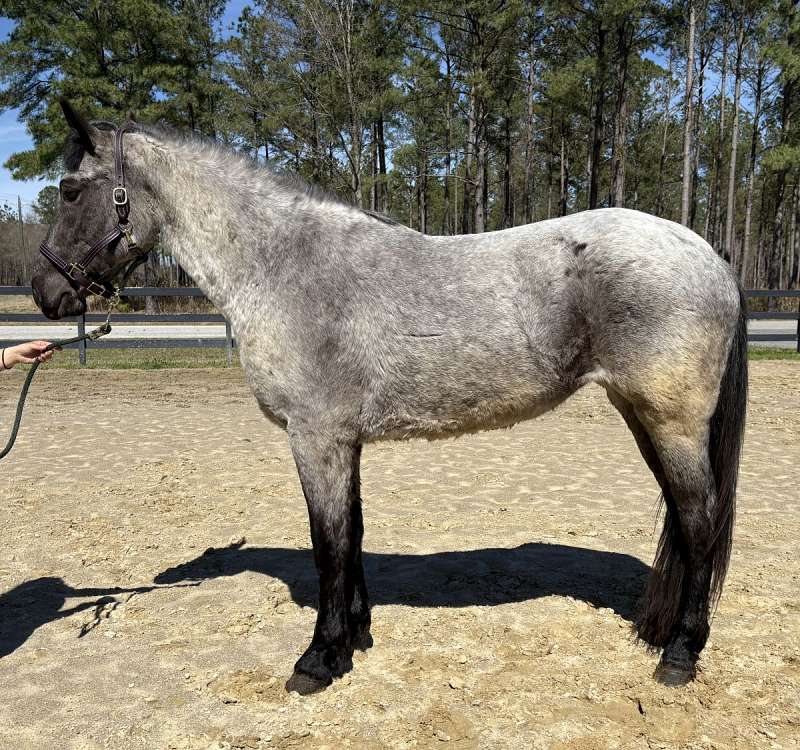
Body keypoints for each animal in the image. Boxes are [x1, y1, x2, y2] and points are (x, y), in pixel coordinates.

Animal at [31, 100, 747, 695]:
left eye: (70, 190)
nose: (45, 292)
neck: (283, 266)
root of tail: (707, 253)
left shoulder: (315, 438)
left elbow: (327, 542)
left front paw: (319, 659)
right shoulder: (342, 442)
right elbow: (351, 534)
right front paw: (356, 637)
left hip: (671, 420)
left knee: (699, 519)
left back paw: (680, 654)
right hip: (642, 416)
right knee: (683, 519)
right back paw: (661, 634)